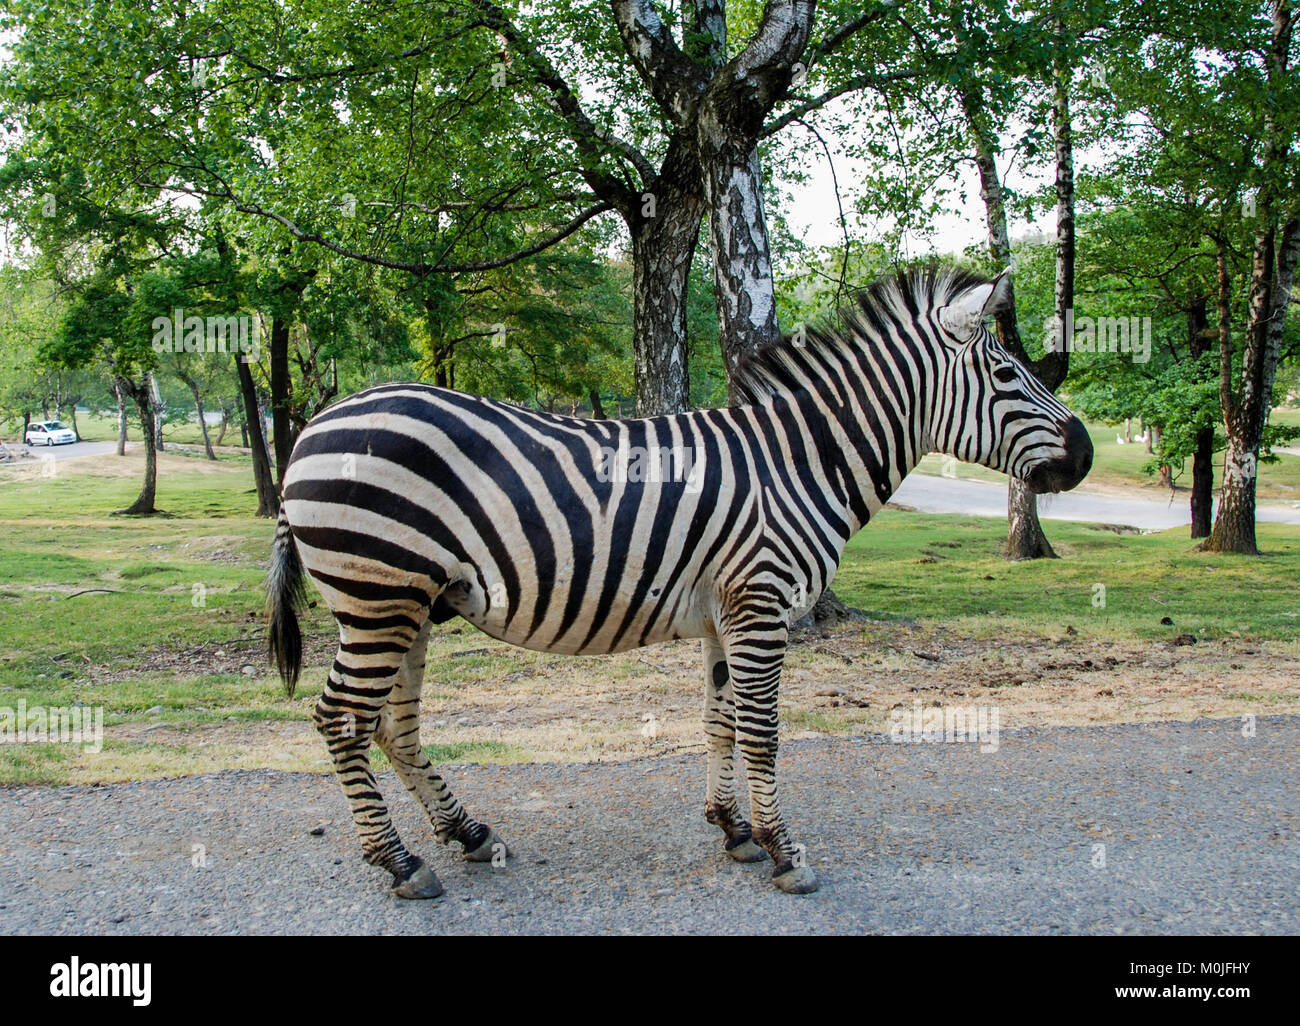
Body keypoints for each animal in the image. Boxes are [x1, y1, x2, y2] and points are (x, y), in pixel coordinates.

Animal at [267, 266, 1093, 899]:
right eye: (1007, 374)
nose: (1085, 454)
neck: (798, 463)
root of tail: (313, 426)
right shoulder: (761, 604)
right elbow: (762, 732)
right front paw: (786, 853)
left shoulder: (727, 615)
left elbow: (719, 720)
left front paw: (733, 830)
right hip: (377, 597)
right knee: (342, 720)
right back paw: (400, 863)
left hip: (407, 605)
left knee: (393, 725)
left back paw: (464, 832)